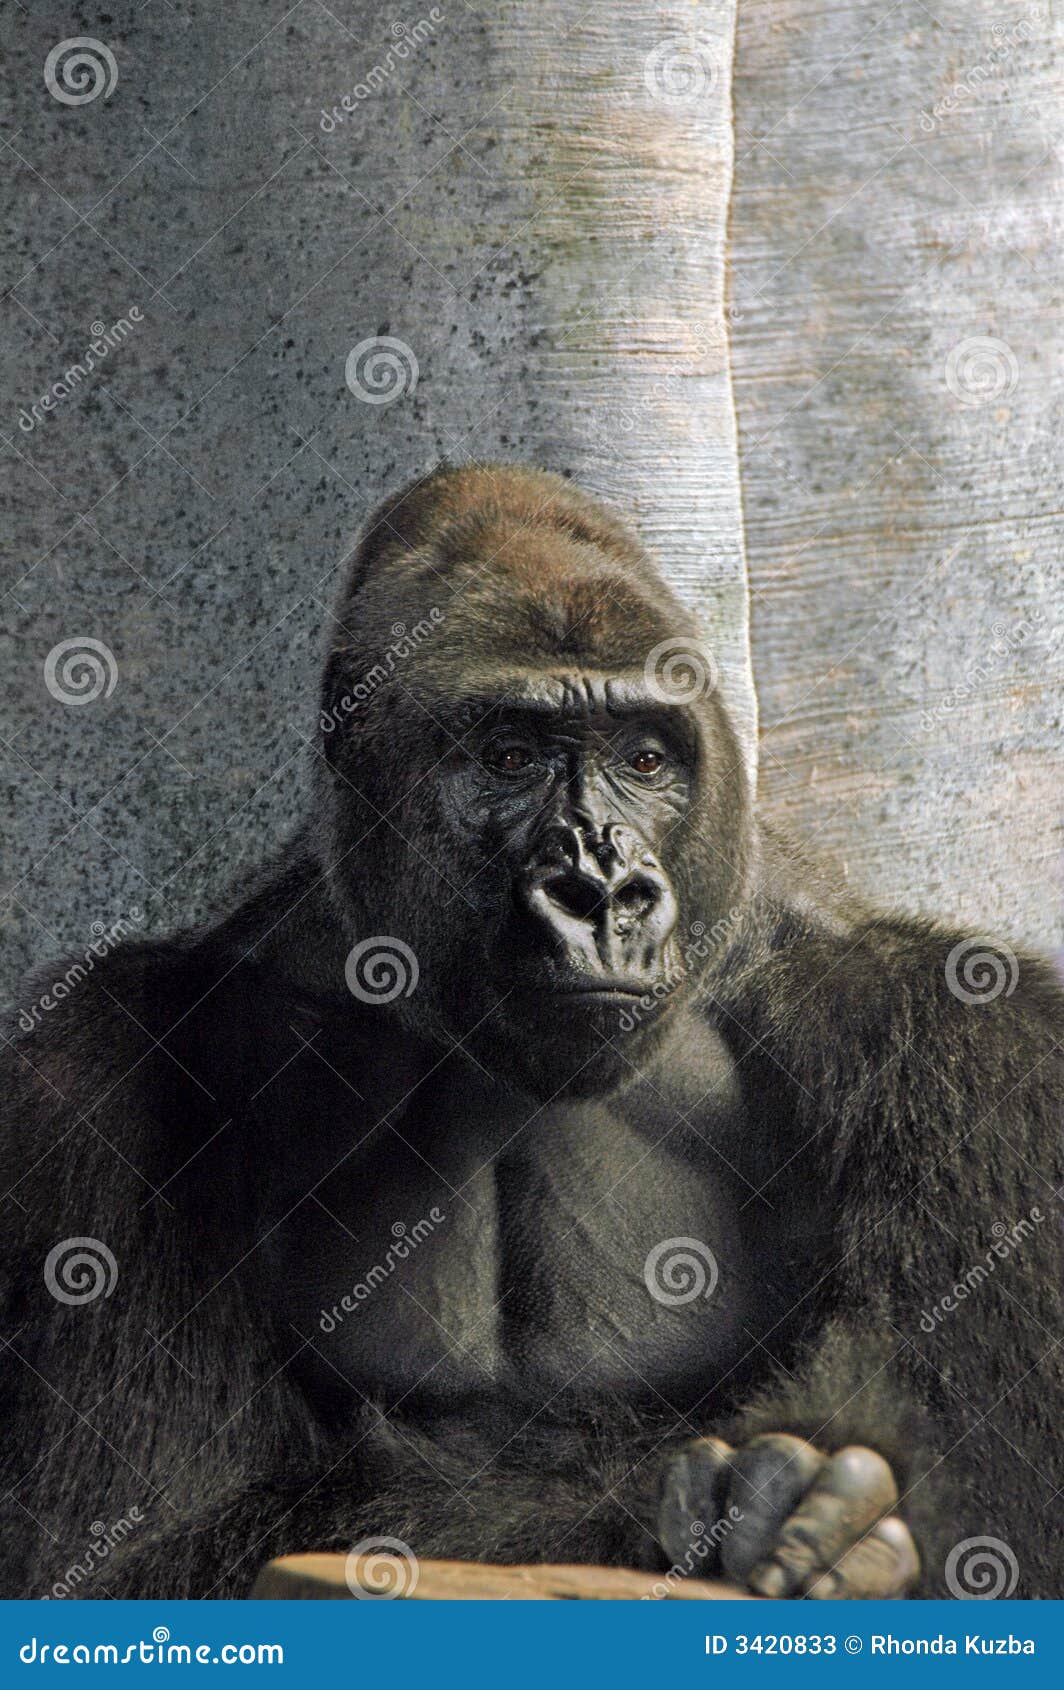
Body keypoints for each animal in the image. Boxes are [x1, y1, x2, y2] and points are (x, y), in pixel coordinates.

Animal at [2, 462, 1062, 1601]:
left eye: (645, 759)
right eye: (508, 756)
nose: (599, 893)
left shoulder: (968, 1042)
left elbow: (1005, 1525)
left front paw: (822, 1505)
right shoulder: (96, 1078)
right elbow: (135, 1545)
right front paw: (763, 1512)